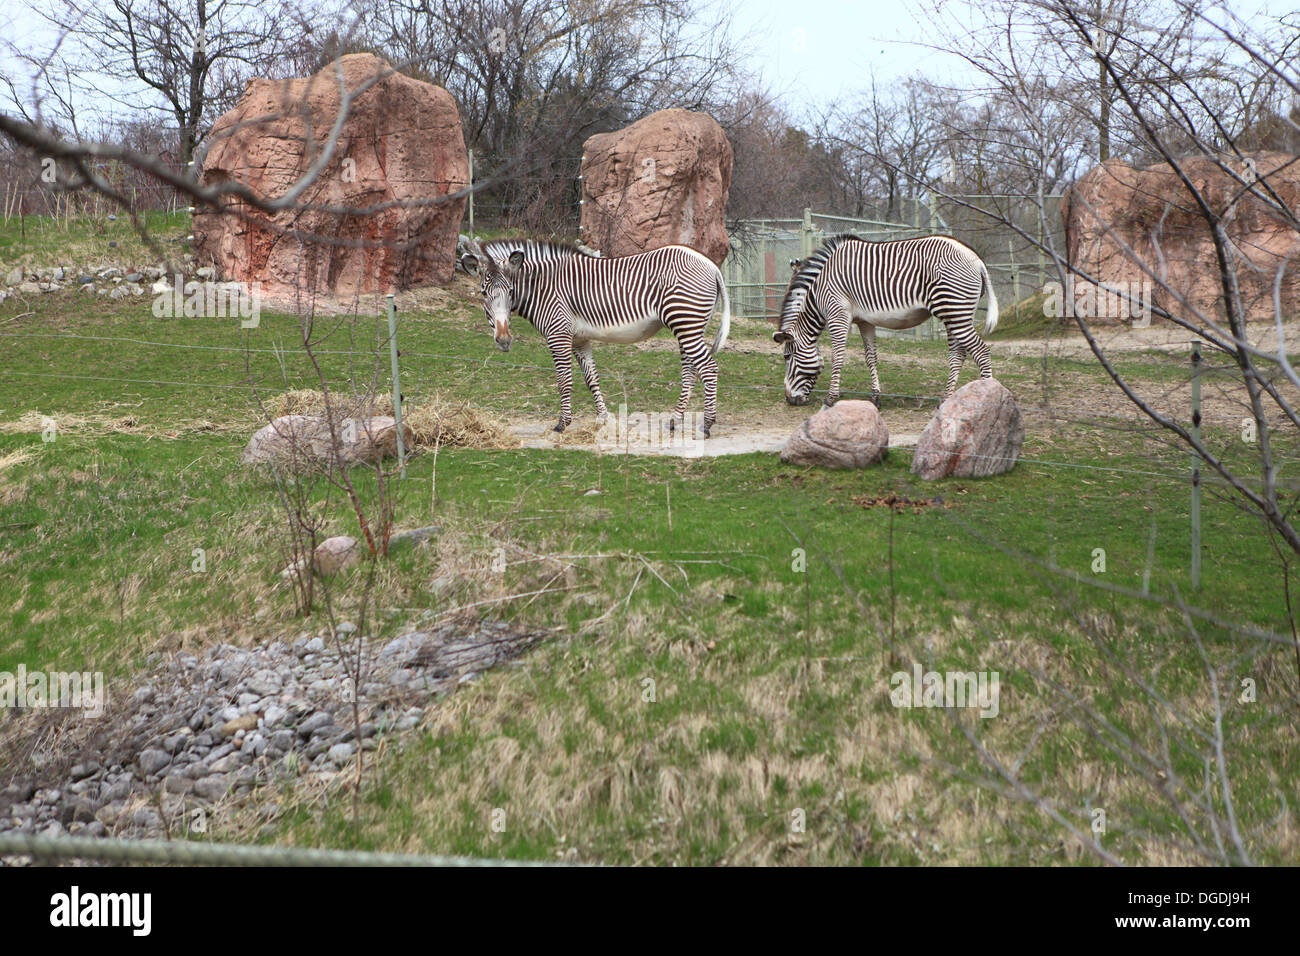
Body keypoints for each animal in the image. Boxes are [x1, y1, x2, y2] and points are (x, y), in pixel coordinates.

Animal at [460, 238, 731, 435]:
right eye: (484, 293)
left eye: (511, 290)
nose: (504, 340)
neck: (544, 289)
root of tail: (711, 265)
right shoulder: (579, 339)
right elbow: (591, 379)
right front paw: (603, 419)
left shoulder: (558, 335)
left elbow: (564, 381)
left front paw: (562, 424)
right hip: (688, 325)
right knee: (690, 370)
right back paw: (676, 419)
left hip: (685, 322)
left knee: (708, 369)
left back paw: (707, 424)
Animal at [774, 234, 998, 407]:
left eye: (786, 356)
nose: (789, 400)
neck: (818, 291)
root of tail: (976, 259)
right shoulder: (865, 321)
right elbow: (870, 357)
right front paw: (875, 397)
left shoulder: (838, 315)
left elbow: (837, 356)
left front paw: (831, 398)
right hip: (953, 314)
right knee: (958, 354)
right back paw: (947, 400)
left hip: (954, 311)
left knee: (981, 351)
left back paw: (989, 398)